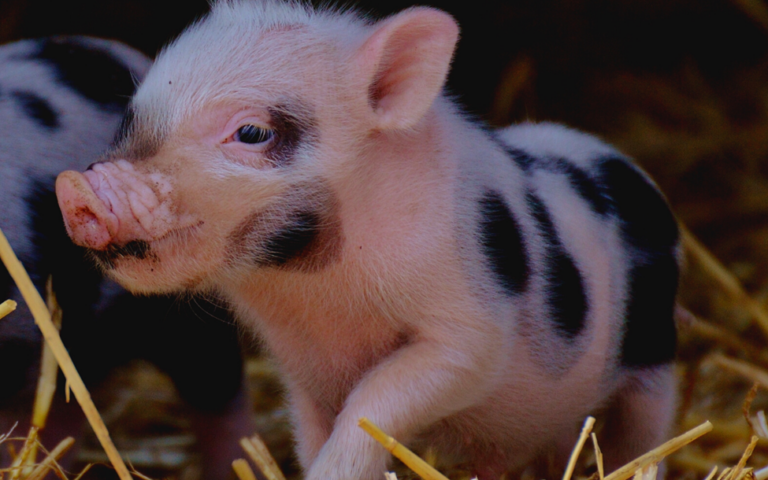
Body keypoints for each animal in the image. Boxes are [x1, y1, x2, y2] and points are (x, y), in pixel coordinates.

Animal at [55, 2, 680, 480]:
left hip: (654, 357)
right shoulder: (299, 367)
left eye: (252, 132)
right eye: (131, 118)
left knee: (643, 438)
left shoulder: (468, 331)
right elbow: (314, 430)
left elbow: (376, 399)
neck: (318, 296)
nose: (78, 190)